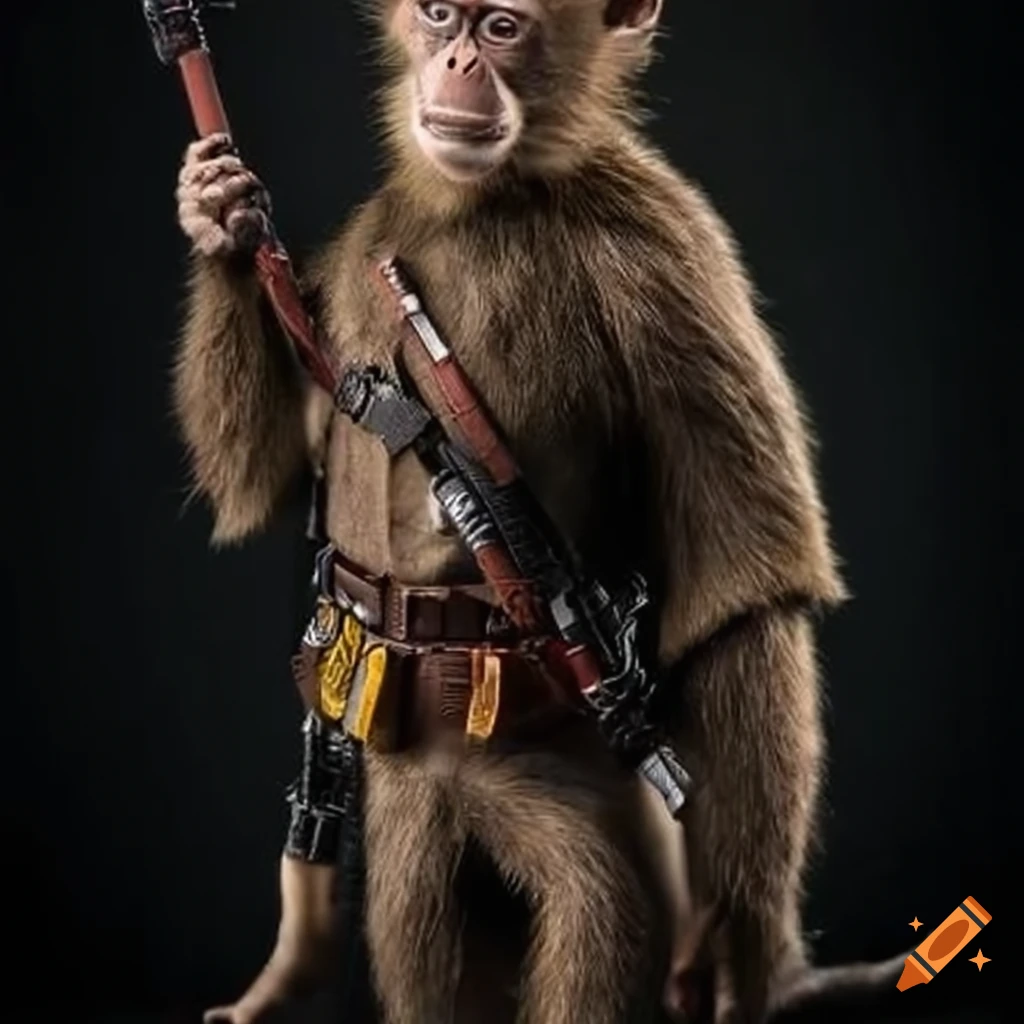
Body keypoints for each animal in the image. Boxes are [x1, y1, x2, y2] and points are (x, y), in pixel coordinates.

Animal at [171, 2, 904, 1022]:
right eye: (441, 15)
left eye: (503, 29)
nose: (456, 58)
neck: (485, 201)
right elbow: (271, 473)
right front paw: (217, 211)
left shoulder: (666, 257)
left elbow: (744, 605)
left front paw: (737, 945)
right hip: (418, 821)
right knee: (425, 930)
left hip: (579, 828)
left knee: (596, 920)